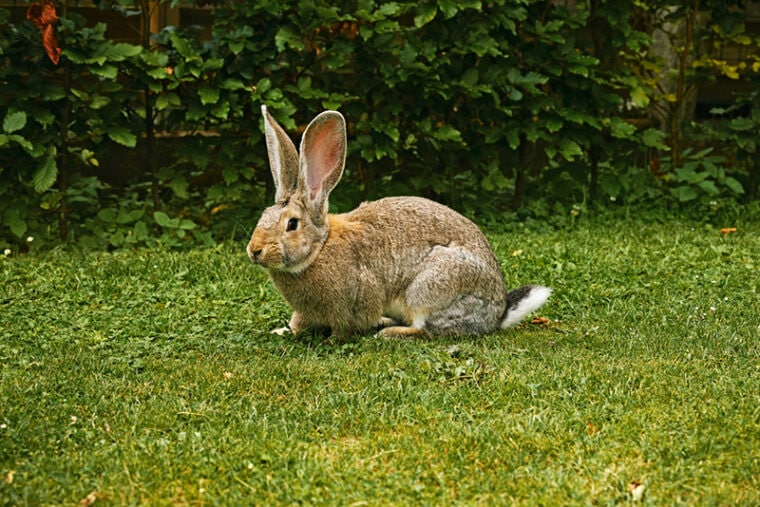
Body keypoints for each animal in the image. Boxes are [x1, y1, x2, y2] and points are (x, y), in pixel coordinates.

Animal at [247, 106, 551, 338]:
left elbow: (345, 329)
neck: (319, 249)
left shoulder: (356, 299)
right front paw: (282, 331)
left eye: (292, 224)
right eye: (263, 216)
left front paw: (333, 339)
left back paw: (388, 333)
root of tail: (497, 314)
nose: (254, 250)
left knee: (427, 330)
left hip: (430, 287)